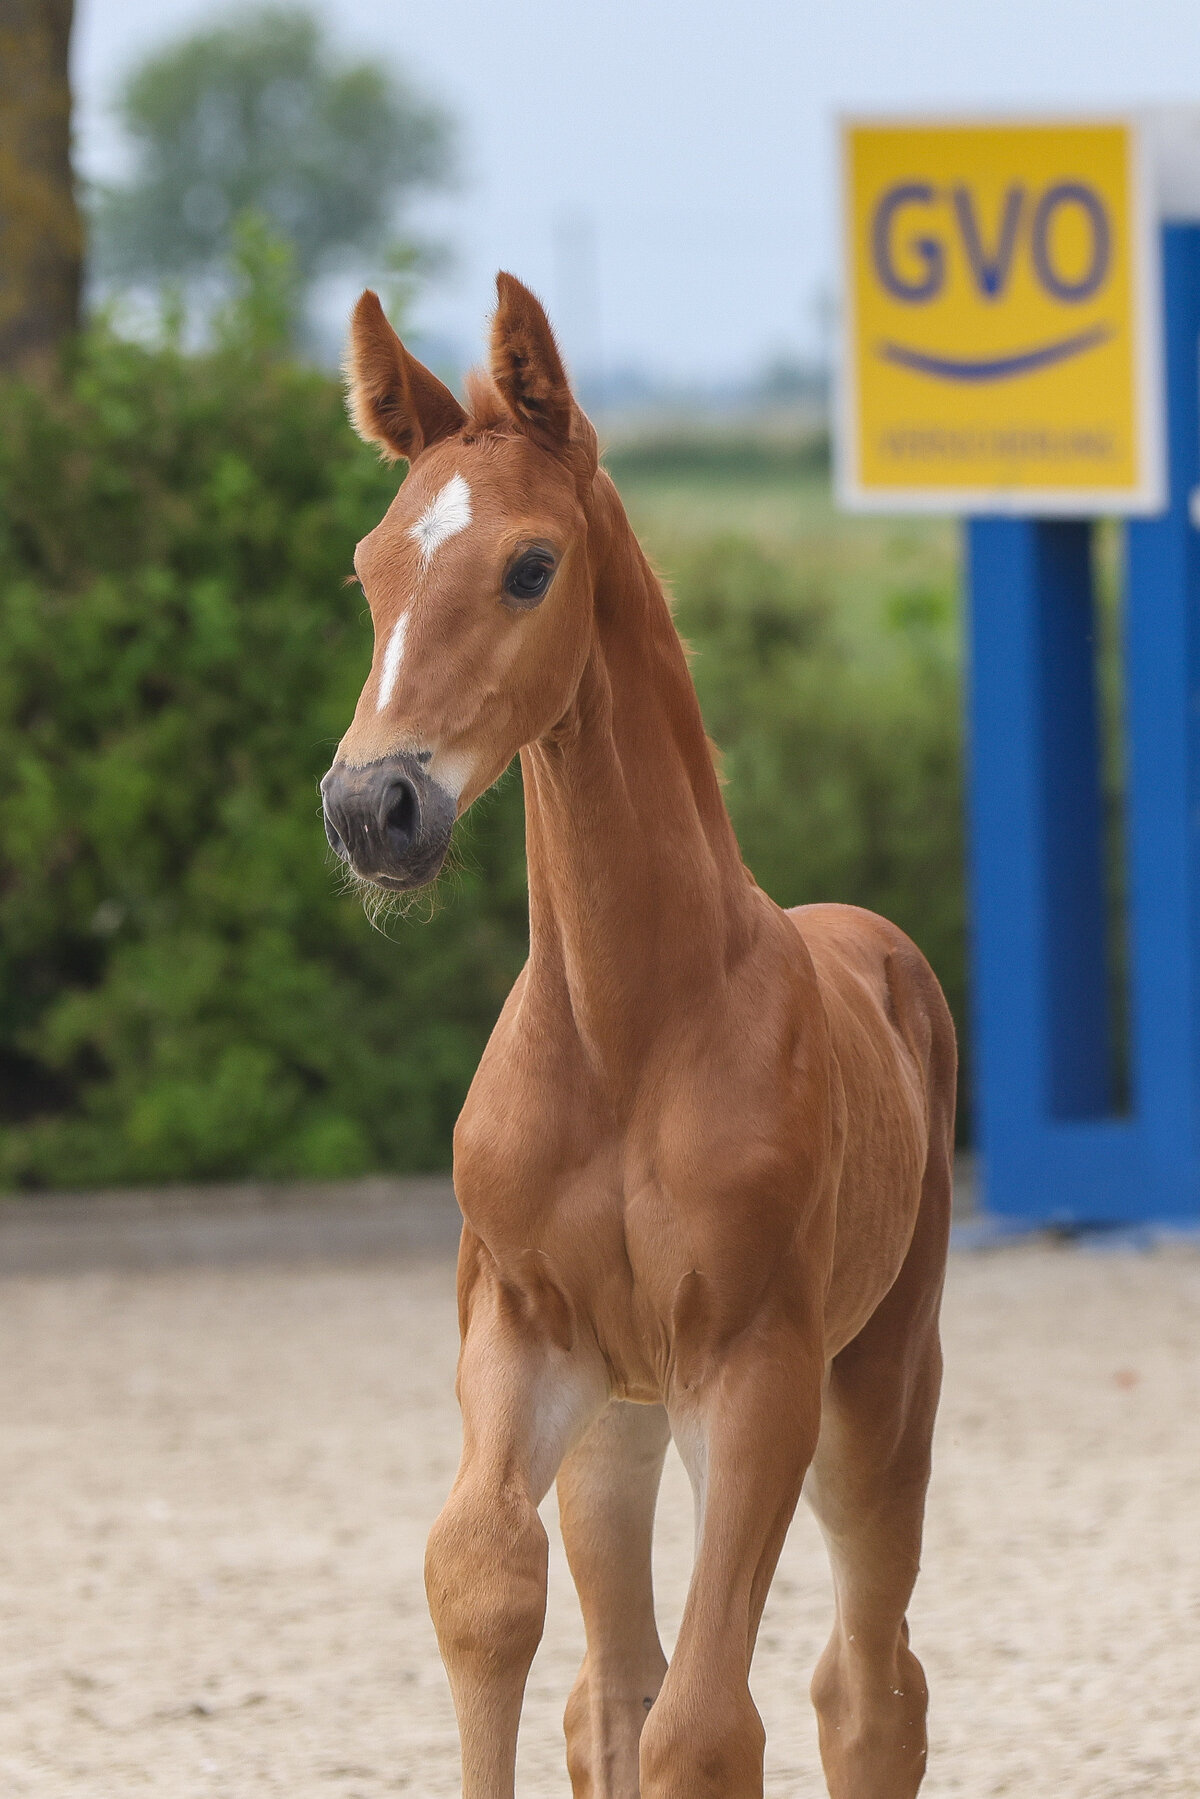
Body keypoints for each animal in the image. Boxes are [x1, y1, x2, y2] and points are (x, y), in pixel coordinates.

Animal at [320, 273, 956, 1799]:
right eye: (369, 569)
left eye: (530, 566)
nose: (373, 807)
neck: (625, 1032)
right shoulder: (520, 1332)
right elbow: (487, 1588)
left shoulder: (758, 1368)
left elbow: (710, 1723)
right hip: (622, 1416)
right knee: (610, 1685)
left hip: (873, 1393)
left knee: (868, 1685)